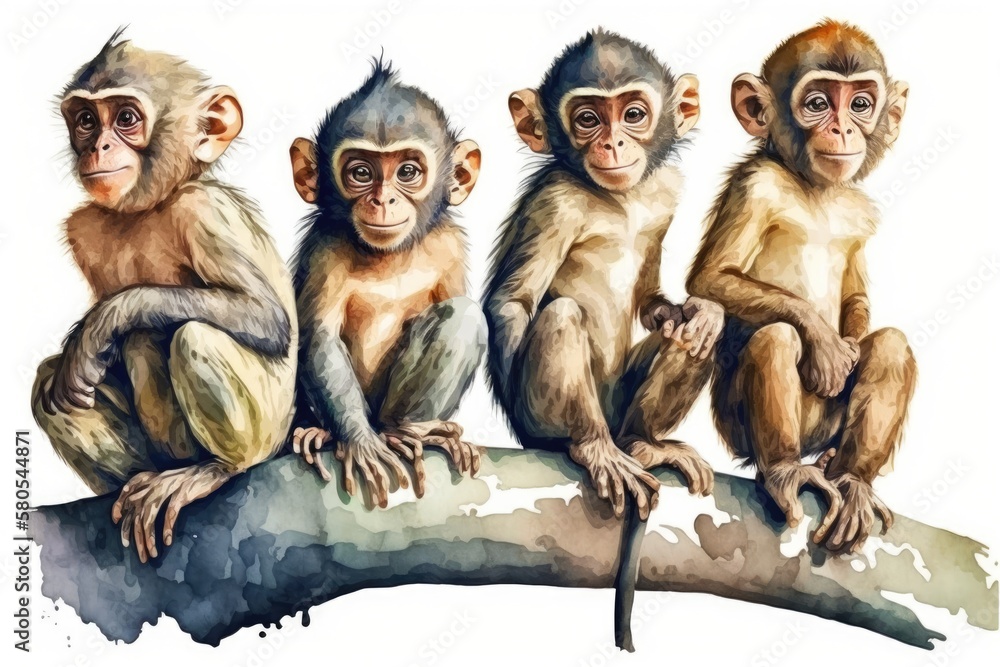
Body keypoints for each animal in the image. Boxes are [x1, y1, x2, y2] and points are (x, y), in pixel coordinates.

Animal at [31, 31, 297, 564]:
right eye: (86, 120)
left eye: (126, 118)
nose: (99, 146)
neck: (147, 205)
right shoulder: (81, 229)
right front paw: (80, 348)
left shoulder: (205, 210)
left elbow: (264, 316)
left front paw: (100, 324)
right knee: (52, 384)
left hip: (269, 432)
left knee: (191, 335)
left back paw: (213, 470)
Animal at [287, 60, 486, 507]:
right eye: (361, 172)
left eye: (408, 172)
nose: (382, 199)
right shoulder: (324, 249)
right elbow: (321, 338)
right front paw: (360, 443)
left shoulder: (449, 244)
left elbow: (458, 305)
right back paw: (326, 433)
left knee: (462, 317)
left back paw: (408, 432)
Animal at [484, 30, 724, 521]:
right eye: (588, 119)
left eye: (633, 115)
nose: (613, 144)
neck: (619, 200)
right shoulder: (555, 202)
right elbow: (513, 302)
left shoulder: (666, 193)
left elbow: (656, 302)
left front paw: (688, 311)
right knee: (561, 316)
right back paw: (590, 445)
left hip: (621, 413)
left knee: (696, 337)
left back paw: (646, 442)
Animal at [687, 20, 916, 553]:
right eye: (817, 103)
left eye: (860, 103)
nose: (842, 128)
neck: (816, 188)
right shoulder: (753, 185)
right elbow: (711, 277)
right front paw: (826, 343)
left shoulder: (861, 209)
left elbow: (857, 297)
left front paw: (848, 345)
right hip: (737, 430)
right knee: (776, 337)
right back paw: (786, 470)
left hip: (829, 431)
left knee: (892, 347)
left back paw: (851, 479)